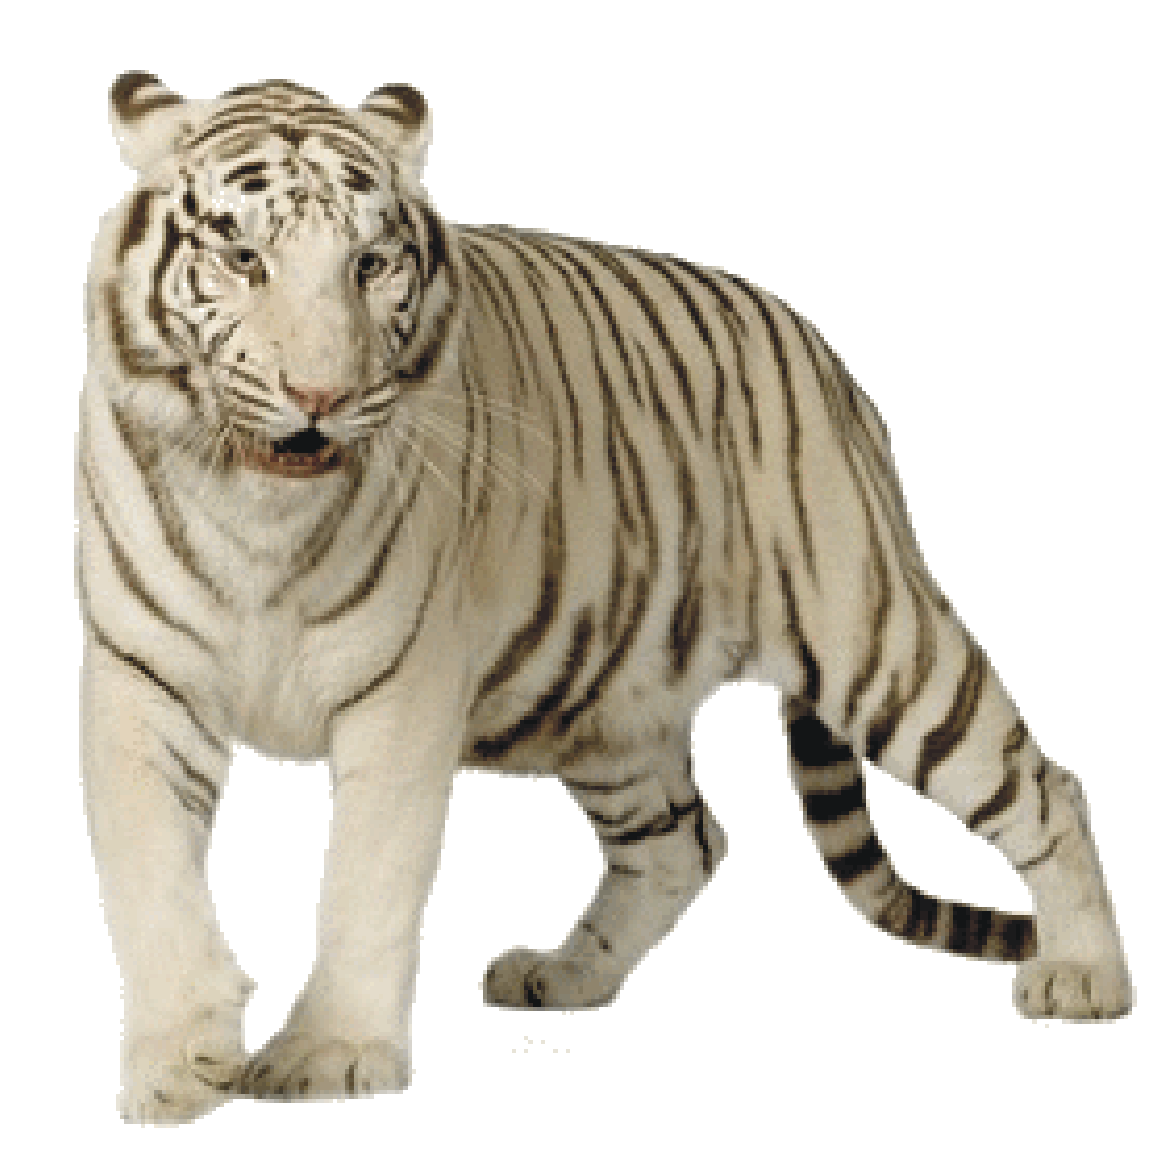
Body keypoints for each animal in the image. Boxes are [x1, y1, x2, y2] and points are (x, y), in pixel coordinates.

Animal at [78, 71, 1133, 1124]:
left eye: (371, 263)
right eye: (242, 258)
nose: (320, 397)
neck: (258, 511)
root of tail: (824, 357)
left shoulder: (401, 696)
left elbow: (364, 882)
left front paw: (331, 1053)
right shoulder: (141, 683)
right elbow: (150, 876)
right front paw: (177, 1065)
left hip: (873, 640)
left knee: (1047, 786)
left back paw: (1086, 975)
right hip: (602, 703)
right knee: (684, 841)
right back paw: (564, 974)